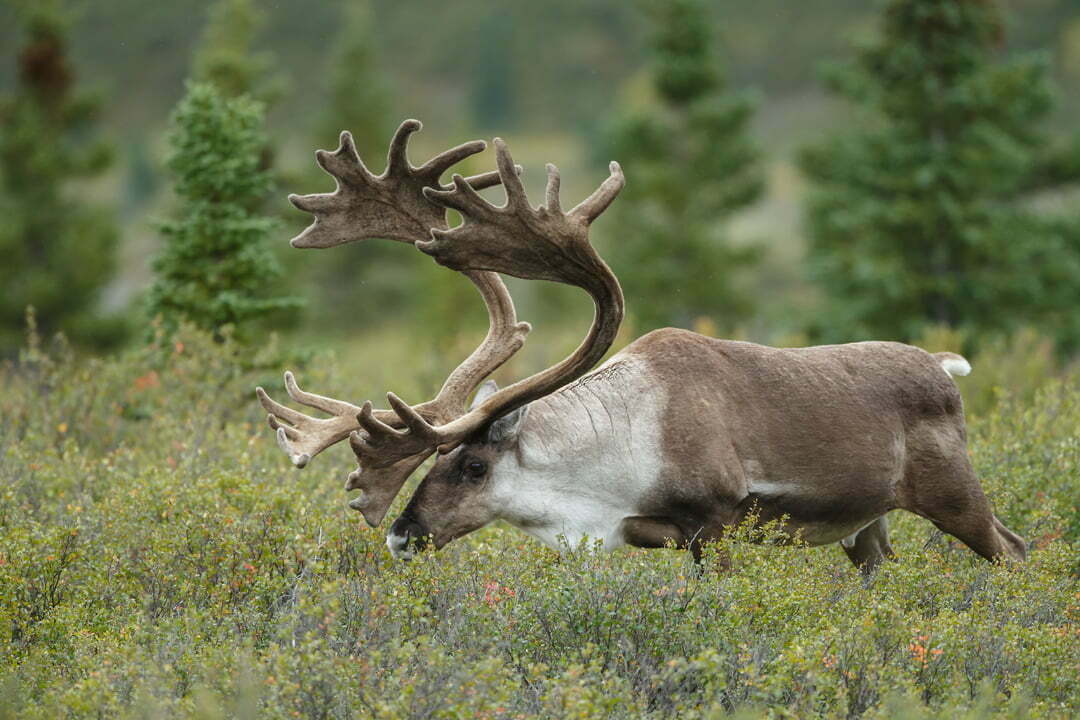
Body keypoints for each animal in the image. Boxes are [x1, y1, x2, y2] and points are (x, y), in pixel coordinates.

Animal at [256, 119, 1027, 574]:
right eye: (436, 462)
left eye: (473, 466)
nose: (401, 534)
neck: (611, 461)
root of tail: (943, 367)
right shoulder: (653, 532)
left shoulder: (719, 524)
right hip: (865, 525)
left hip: (954, 491)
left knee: (1013, 549)